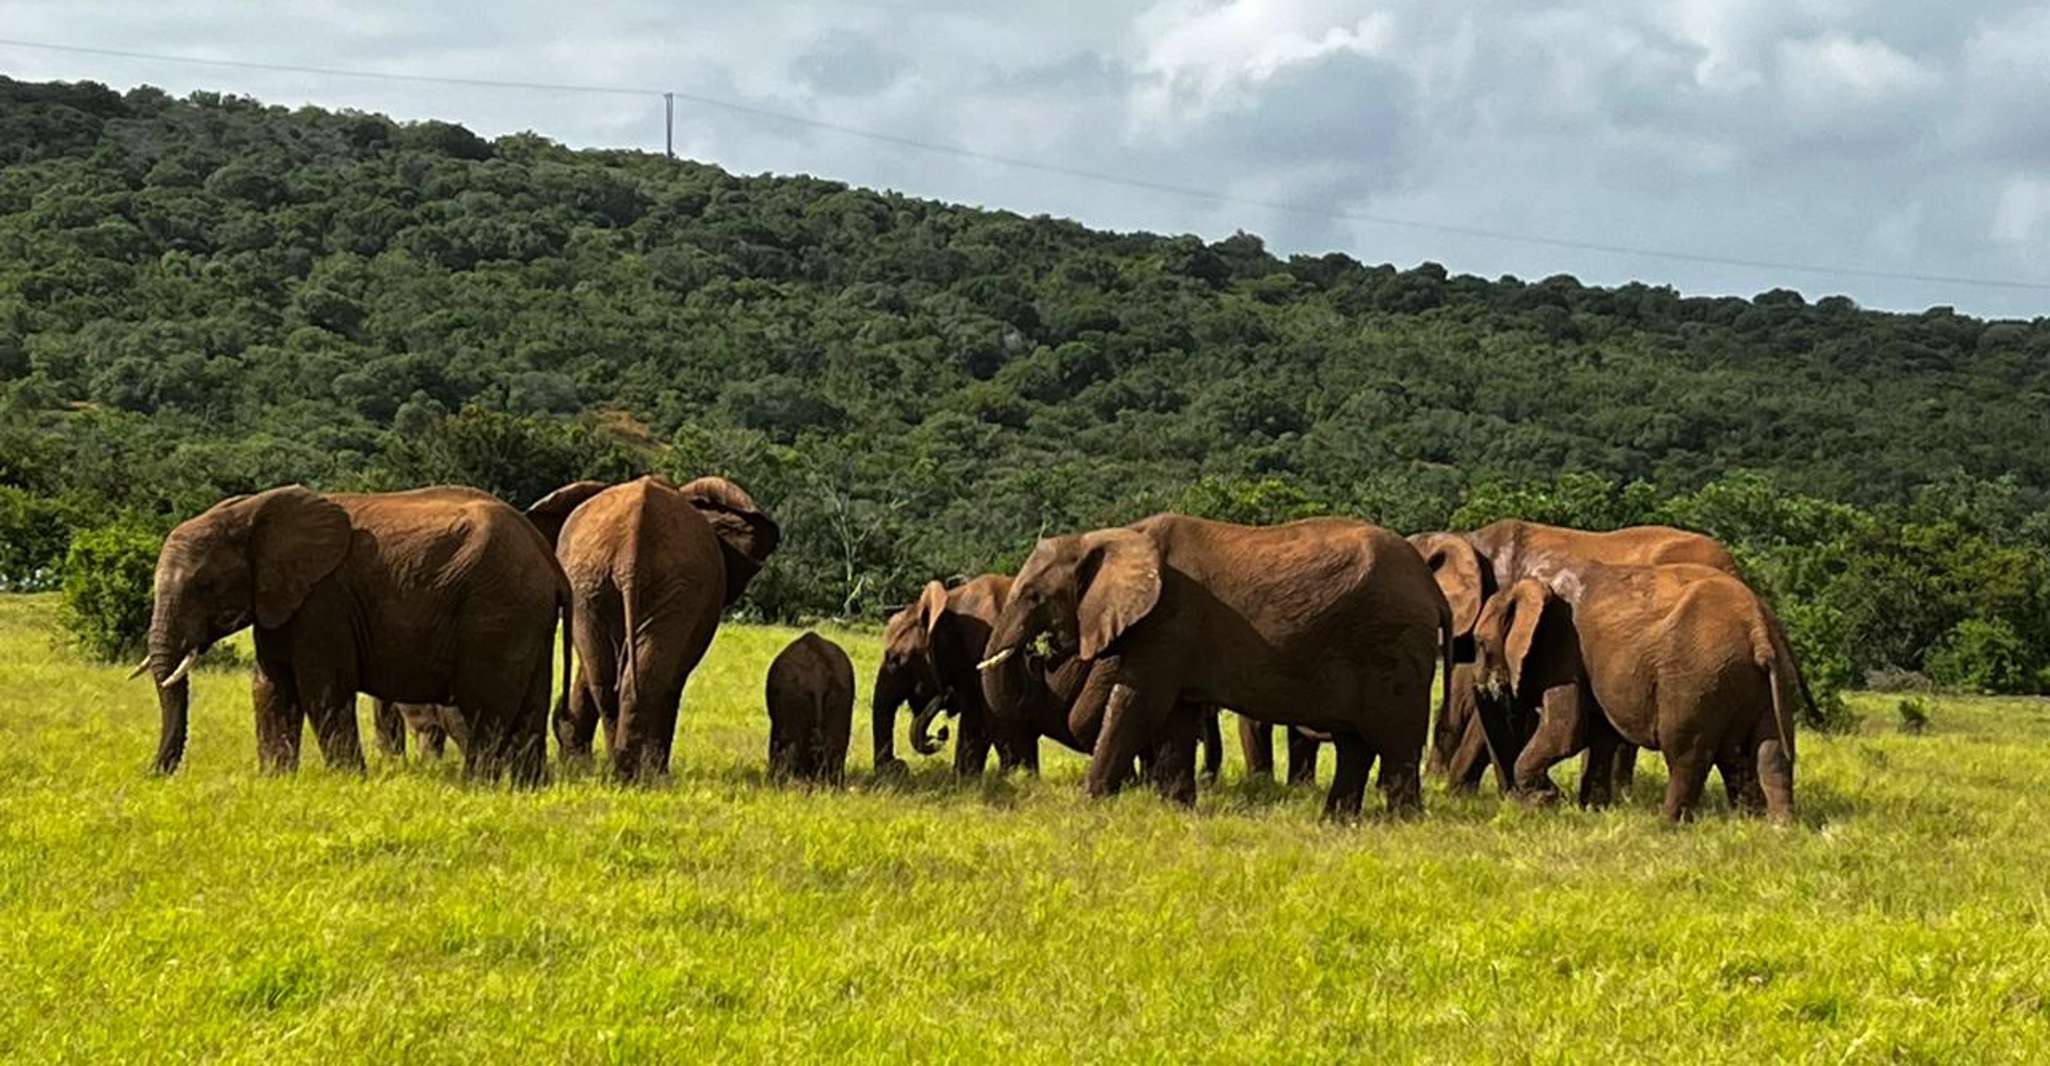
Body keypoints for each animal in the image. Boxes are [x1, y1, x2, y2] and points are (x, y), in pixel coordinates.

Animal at [136, 485, 569, 784]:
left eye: (204, 586)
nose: (152, 773)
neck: (251, 511)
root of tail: (550, 562)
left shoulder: (323, 602)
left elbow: (322, 689)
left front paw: (347, 780)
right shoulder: (281, 602)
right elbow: (270, 687)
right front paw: (276, 779)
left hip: (497, 607)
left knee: (484, 706)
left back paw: (476, 785)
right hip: (526, 616)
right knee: (529, 708)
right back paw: (528, 788)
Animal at [526, 474, 779, 782]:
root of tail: (632, 541)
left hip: (604, 582)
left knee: (610, 678)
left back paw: (623, 771)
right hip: (618, 582)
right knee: (638, 679)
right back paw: (633, 773)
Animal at [978, 514, 1453, 816]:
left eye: (1034, 596)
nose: (1041, 653)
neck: (1112, 536)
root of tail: (1432, 588)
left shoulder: (1167, 622)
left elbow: (1136, 704)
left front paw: (1090, 805)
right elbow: (1176, 717)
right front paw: (1177, 809)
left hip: (1392, 645)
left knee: (1394, 740)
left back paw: (1402, 821)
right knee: (1355, 742)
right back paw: (1337, 821)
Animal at [1469, 566, 1798, 823]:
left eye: (1480, 643)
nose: (1514, 802)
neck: (1532, 583)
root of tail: (1757, 626)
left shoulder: (1563, 652)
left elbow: (1567, 731)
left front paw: (1547, 800)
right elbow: (1599, 734)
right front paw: (1590, 811)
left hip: (1696, 679)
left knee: (1686, 752)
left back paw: (1667, 825)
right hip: (1763, 678)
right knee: (1764, 753)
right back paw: (1769, 825)